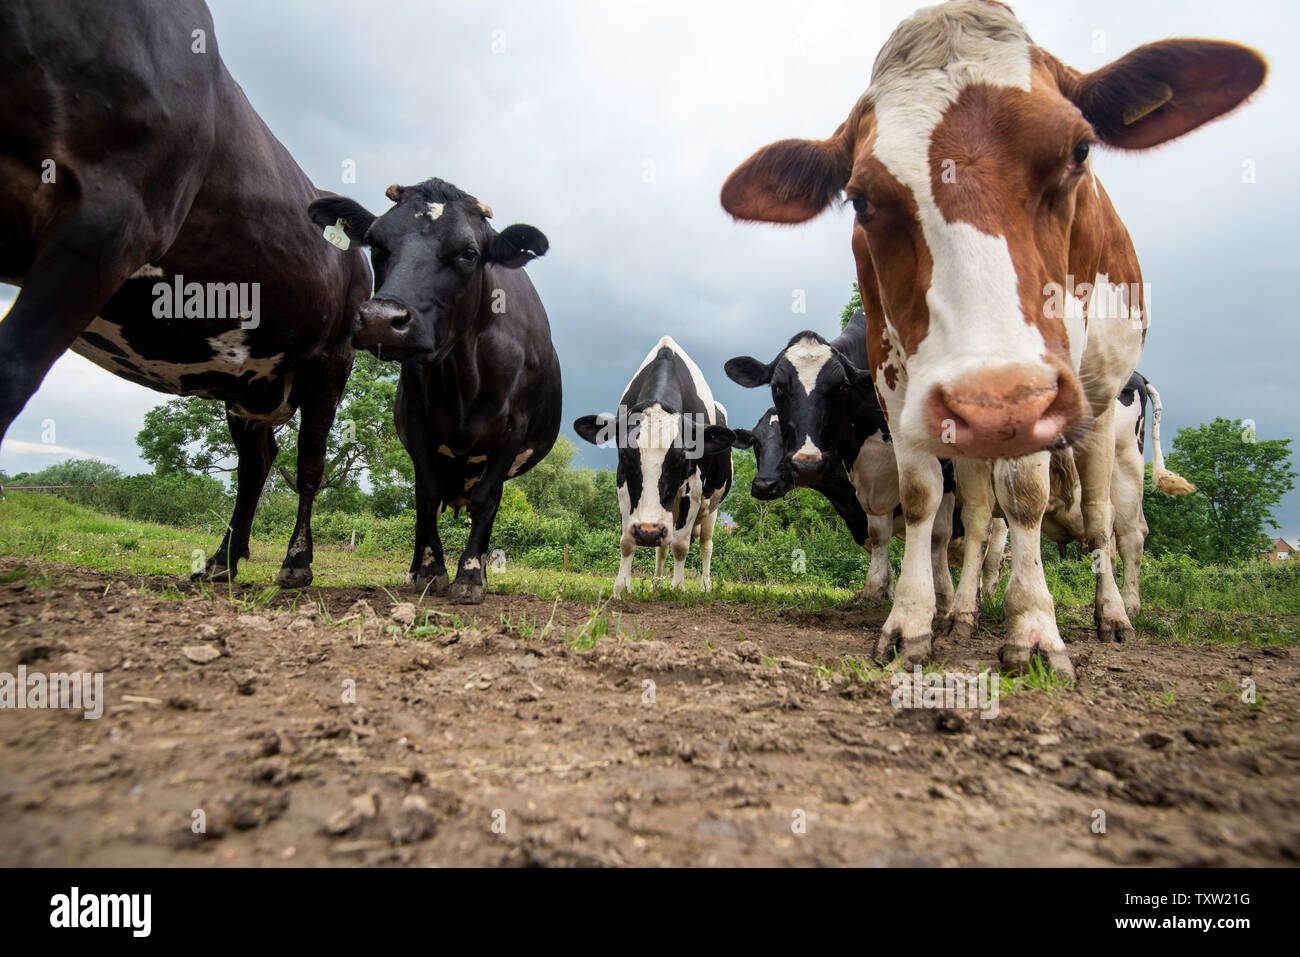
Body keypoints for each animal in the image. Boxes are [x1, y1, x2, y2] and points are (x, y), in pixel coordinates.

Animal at [0, 0, 371, 588]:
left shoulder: (111, 221)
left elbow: (11, 369)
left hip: (331, 362)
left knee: (310, 459)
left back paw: (295, 563)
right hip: (249, 375)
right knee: (258, 458)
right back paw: (222, 561)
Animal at [307, 179, 560, 604]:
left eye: (469, 253)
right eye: (376, 243)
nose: (381, 319)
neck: (464, 376)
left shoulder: (514, 430)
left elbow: (485, 501)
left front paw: (470, 576)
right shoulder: (416, 421)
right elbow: (425, 495)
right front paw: (430, 570)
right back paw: (415, 570)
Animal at [574, 338, 734, 595]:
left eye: (681, 457)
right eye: (624, 454)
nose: (648, 532)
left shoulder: (694, 488)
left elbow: (680, 544)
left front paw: (678, 588)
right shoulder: (624, 484)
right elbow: (627, 541)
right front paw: (621, 586)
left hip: (711, 508)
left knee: (705, 546)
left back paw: (705, 586)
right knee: (663, 547)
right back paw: (656, 584)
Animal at [726, 311, 957, 609]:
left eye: (840, 386)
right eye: (776, 387)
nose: (765, 485)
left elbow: (937, 536)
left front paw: (941, 599)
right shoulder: (866, 488)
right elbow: (879, 537)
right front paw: (876, 591)